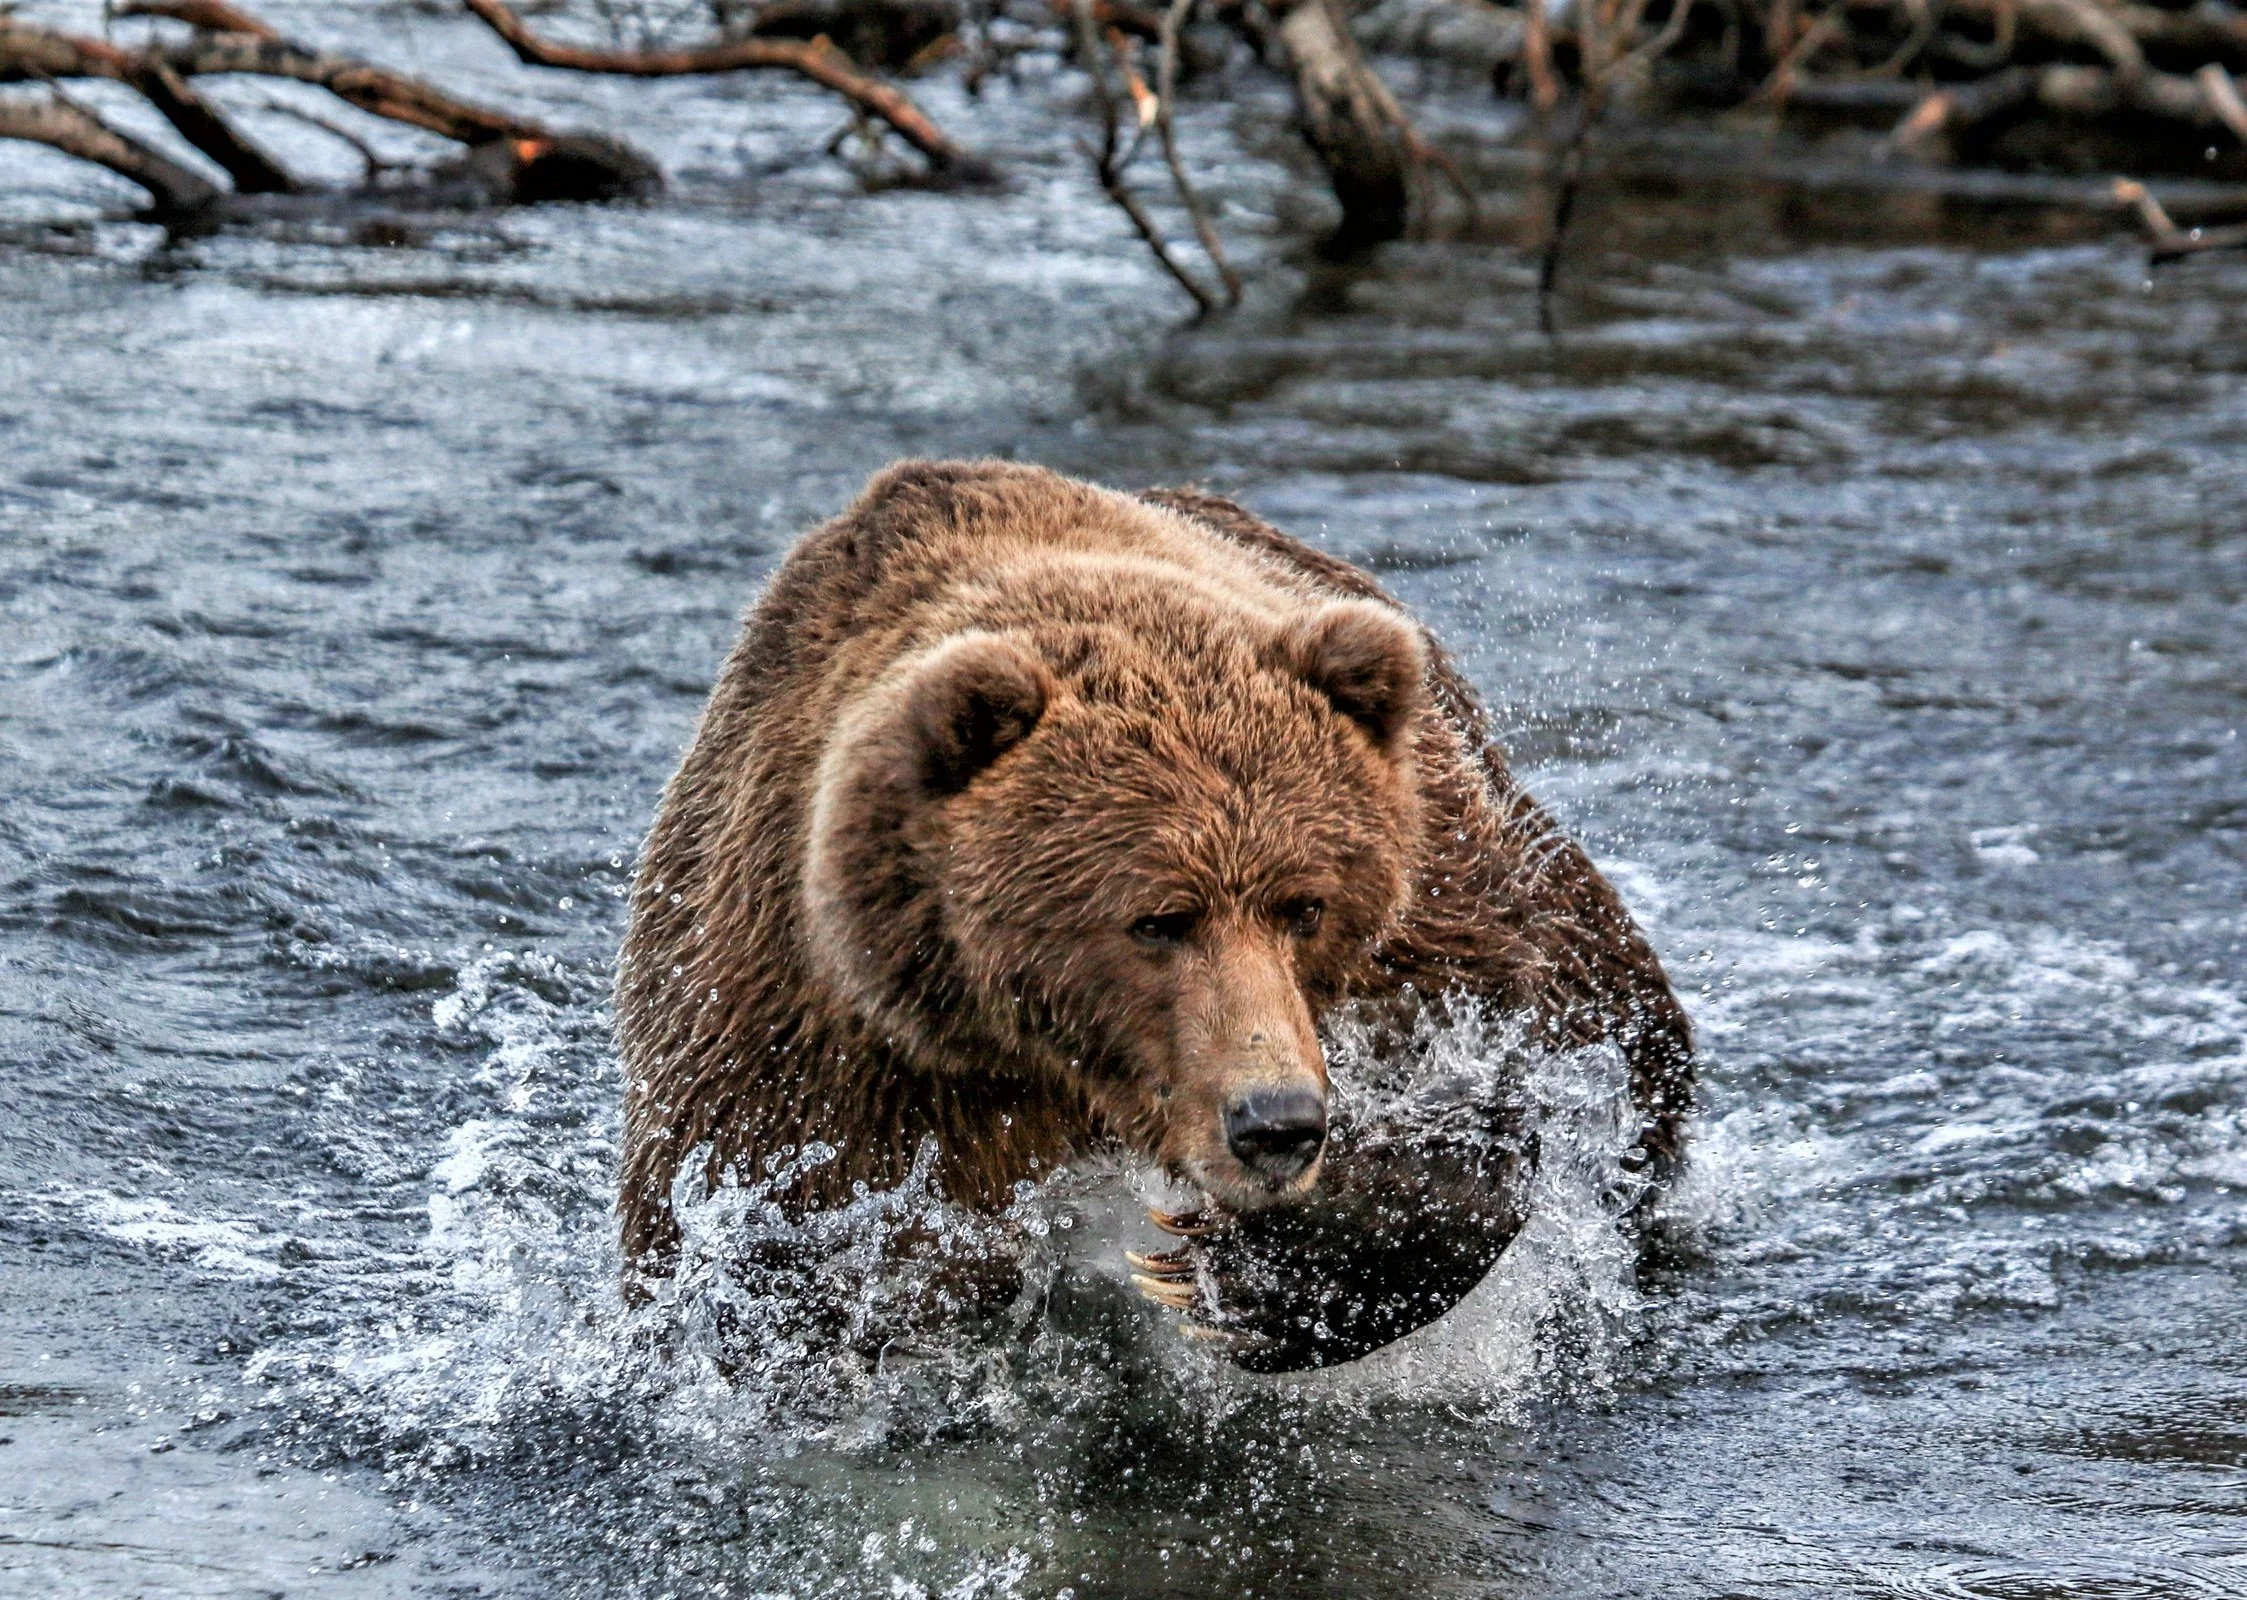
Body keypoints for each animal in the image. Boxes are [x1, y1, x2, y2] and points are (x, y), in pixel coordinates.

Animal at [616, 460, 1692, 1372]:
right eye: (1156, 919)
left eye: (1304, 905)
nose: (1275, 1124)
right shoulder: (805, 1059)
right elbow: (793, 1264)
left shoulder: (1429, 927)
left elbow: (1493, 1095)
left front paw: (1239, 1275)